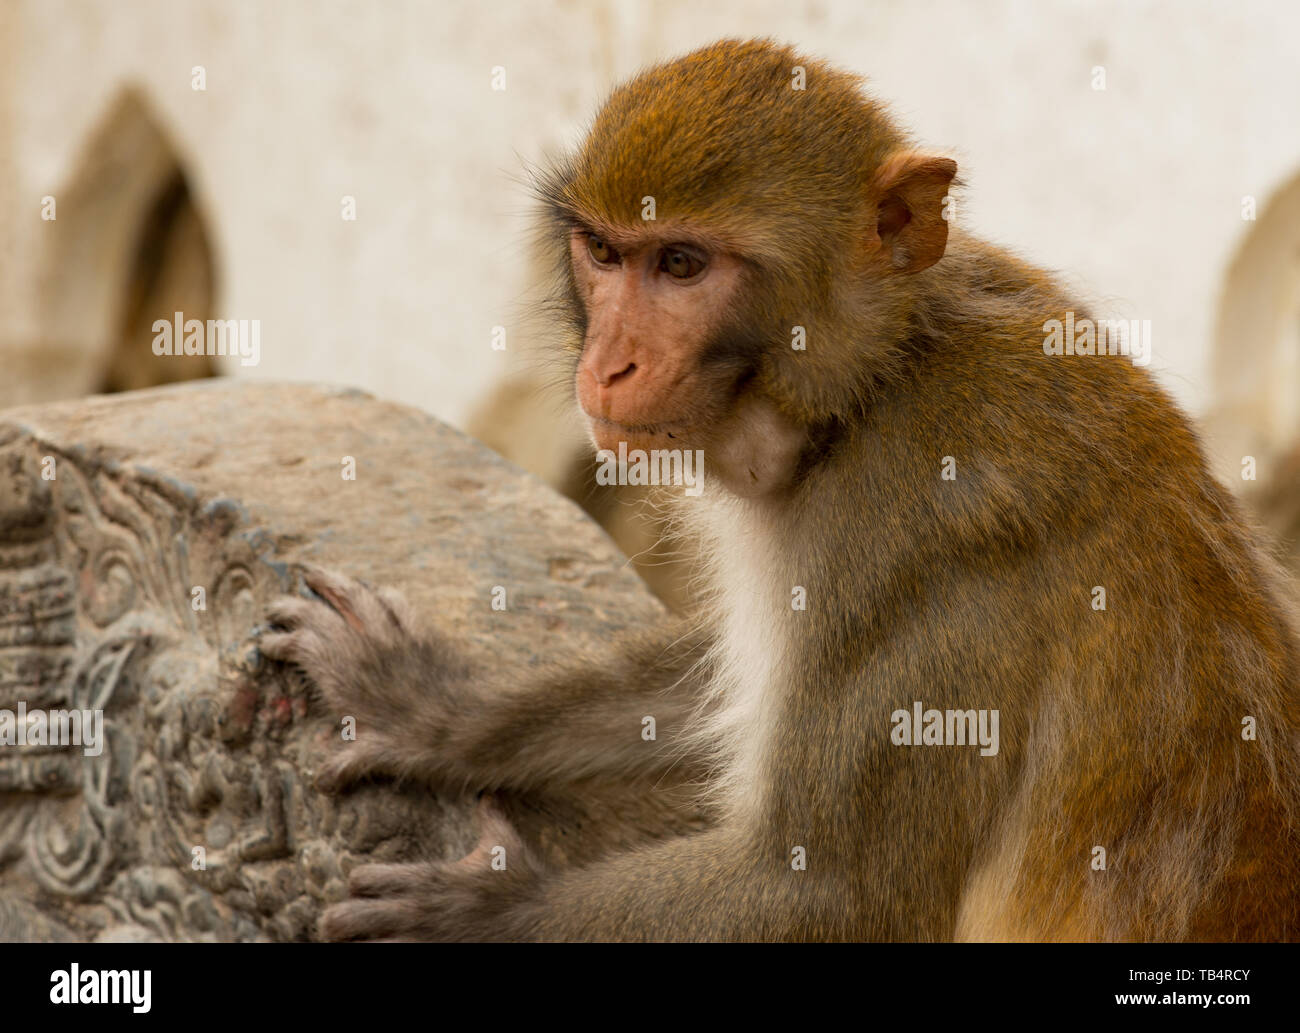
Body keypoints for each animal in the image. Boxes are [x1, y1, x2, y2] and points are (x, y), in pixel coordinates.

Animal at [258, 38, 1300, 942]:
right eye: (604, 254)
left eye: (681, 264)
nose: (609, 365)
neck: (866, 393)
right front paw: (430, 707)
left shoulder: (929, 546)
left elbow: (828, 890)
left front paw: (492, 913)